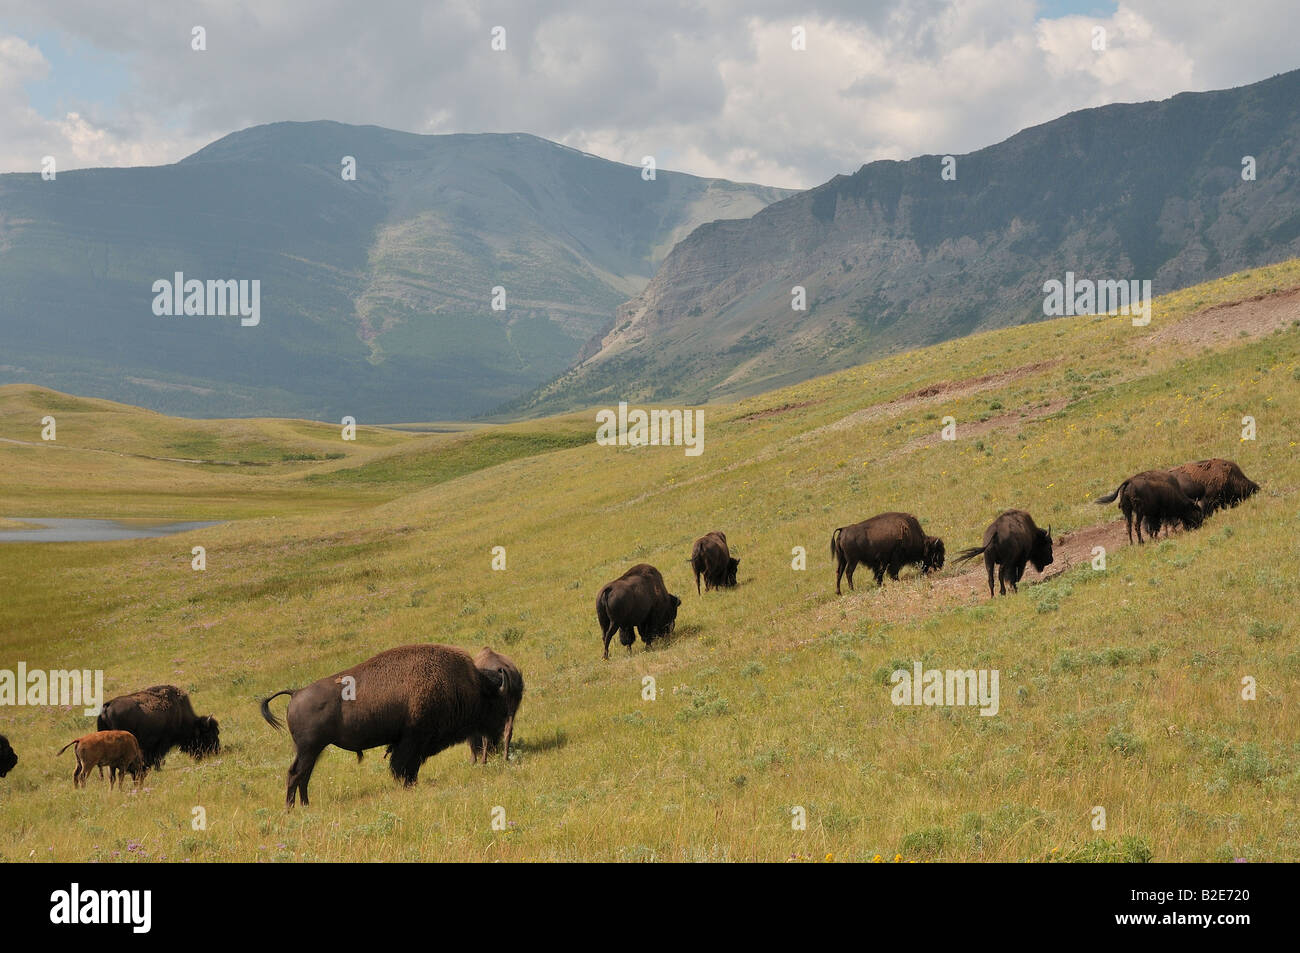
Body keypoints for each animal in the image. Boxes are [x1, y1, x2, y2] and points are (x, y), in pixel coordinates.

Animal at [260, 643, 520, 808]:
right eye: (495, 703)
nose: (498, 734)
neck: (471, 685)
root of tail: (296, 693)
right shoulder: (413, 740)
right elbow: (404, 766)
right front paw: (408, 786)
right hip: (309, 748)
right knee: (296, 774)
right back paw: (291, 809)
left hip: (312, 750)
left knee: (303, 775)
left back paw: (305, 805)